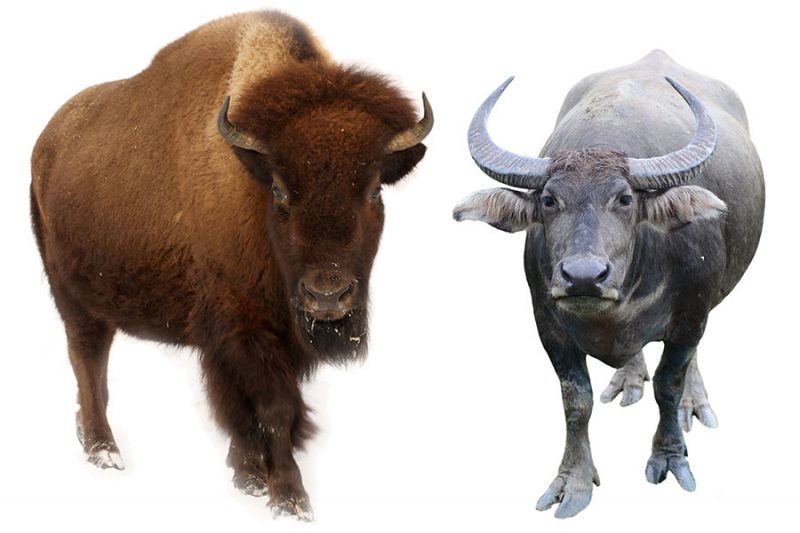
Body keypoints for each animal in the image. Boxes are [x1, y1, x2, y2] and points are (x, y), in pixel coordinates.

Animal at [31, 11, 432, 520]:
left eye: (374, 190)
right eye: (279, 190)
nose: (328, 296)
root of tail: (47, 142)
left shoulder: (262, 337)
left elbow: (243, 407)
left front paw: (248, 476)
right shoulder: (242, 325)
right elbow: (274, 408)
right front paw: (289, 498)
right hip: (72, 296)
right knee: (88, 358)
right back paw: (104, 450)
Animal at [454, 50, 763, 518]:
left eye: (625, 199)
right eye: (549, 200)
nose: (583, 276)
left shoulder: (692, 313)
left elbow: (668, 383)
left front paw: (669, 457)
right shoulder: (547, 323)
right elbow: (575, 401)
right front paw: (573, 482)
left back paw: (694, 402)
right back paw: (629, 378)